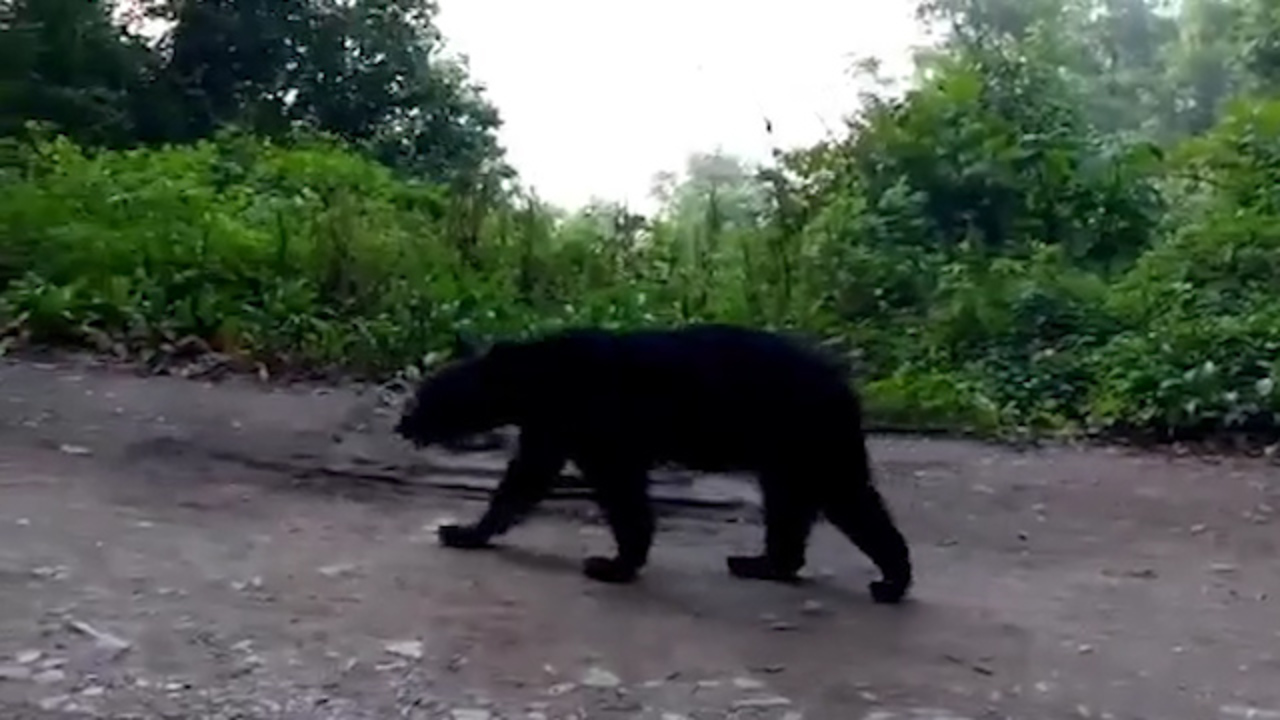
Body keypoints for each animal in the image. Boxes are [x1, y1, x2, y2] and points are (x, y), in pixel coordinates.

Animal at [394, 323, 913, 604]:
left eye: (422, 396)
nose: (402, 423)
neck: (534, 380)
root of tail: (847, 387)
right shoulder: (552, 427)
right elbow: (525, 479)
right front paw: (466, 531)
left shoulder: (592, 421)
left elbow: (620, 493)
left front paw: (613, 563)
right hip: (790, 454)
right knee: (791, 505)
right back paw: (762, 562)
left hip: (812, 439)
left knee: (848, 499)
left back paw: (891, 580)